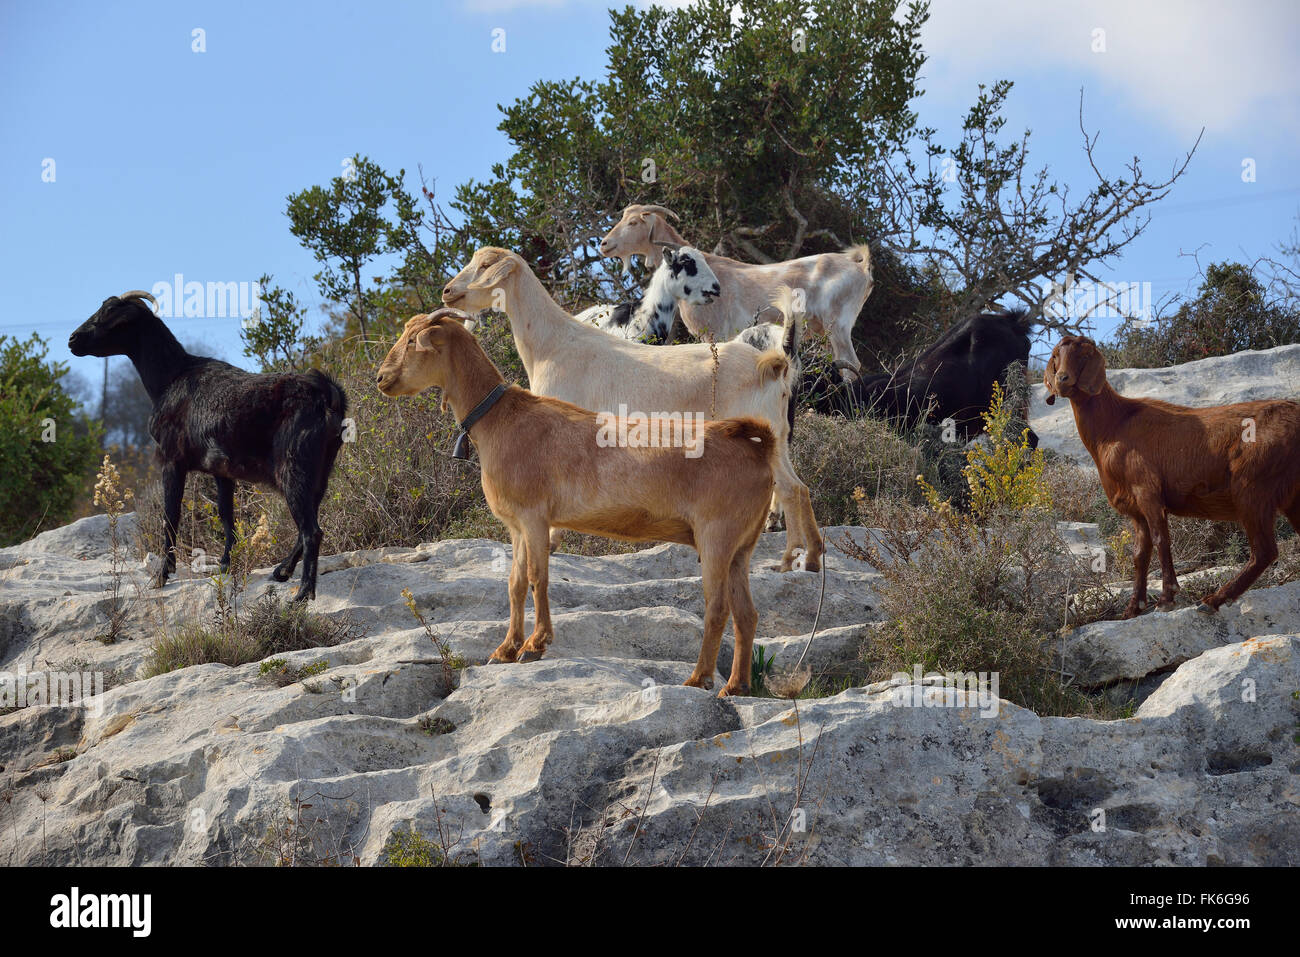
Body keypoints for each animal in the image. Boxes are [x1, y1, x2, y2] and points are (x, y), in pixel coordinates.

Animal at [68, 291, 347, 601]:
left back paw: (303, 593)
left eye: (110, 315)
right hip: (321, 469)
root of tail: (327, 392)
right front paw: (226, 564)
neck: (171, 377)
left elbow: (170, 515)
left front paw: (162, 575)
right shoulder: (221, 470)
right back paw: (282, 571)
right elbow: (226, 514)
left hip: (294, 465)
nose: (72, 340)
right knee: (309, 520)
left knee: (312, 530)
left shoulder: (171, 459)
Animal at [376, 309, 776, 696]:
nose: (381, 377)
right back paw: (736, 685)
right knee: (747, 613)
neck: (499, 419)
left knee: (718, 607)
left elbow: (538, 576)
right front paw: (505, 649)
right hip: (742, 545)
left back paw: (699, 679)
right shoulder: (516, 526)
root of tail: (757, 446)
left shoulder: (535, 516)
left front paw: (535, 645)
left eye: (412, 341)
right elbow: (515, 583)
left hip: (715, 534)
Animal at [598, 204, 874, 380]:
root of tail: (861, 268)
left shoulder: (717, 332)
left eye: (633, 222)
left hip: (838, 325)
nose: (604, 244)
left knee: (851, 364)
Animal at [1044, 335, 1300, 618]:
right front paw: (1133, 608)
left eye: (1084, 356)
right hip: (1291, 496)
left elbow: (1161, 539)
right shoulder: (1135, 508)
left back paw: (1213, 600)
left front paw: (1166, 598)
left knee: (1264, 550)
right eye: (1055, 355)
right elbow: (1140, 553)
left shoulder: (1147, 491)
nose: (1062, 379)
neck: (1114, 425)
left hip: (1252, 488)